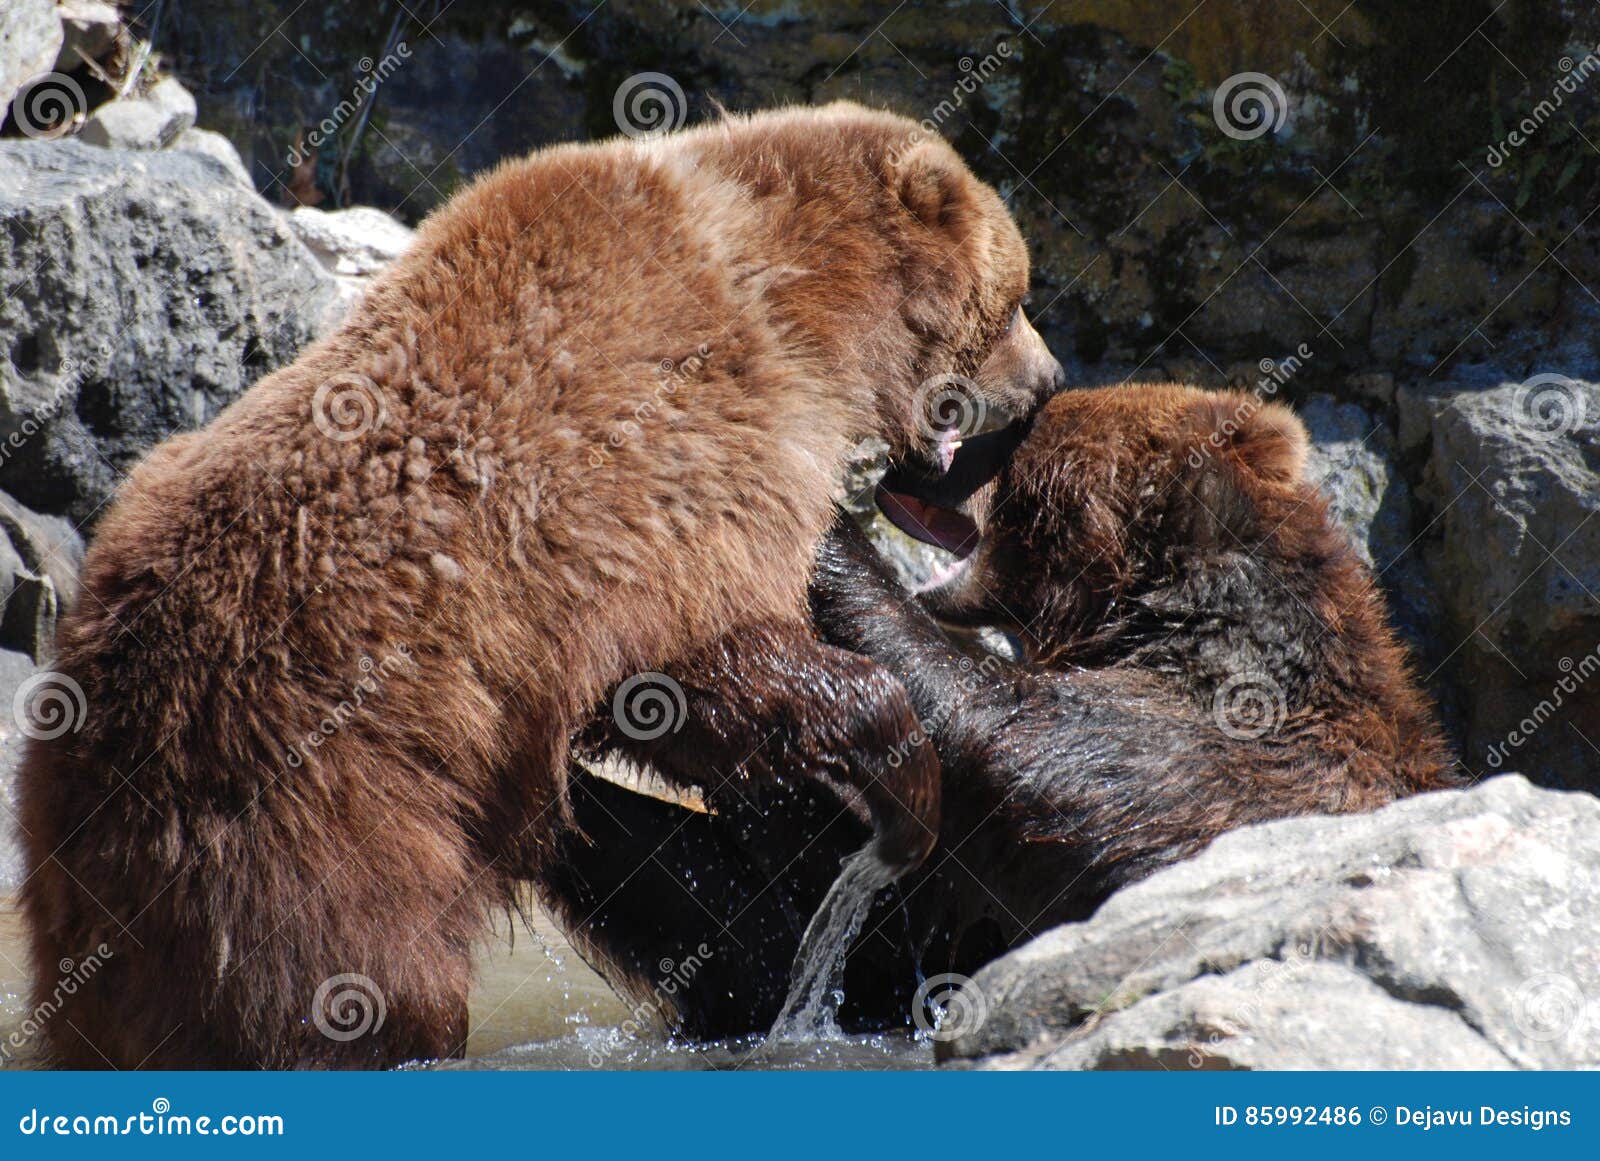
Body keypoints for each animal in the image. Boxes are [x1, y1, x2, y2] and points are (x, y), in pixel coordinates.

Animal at [15, 102, 1065, 1068]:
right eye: (1016, 295)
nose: (1049, 378)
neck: (811, 308)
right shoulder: (681, 446)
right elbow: (706, 652)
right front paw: (901, 784)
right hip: (315, 805)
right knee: (367, 982)